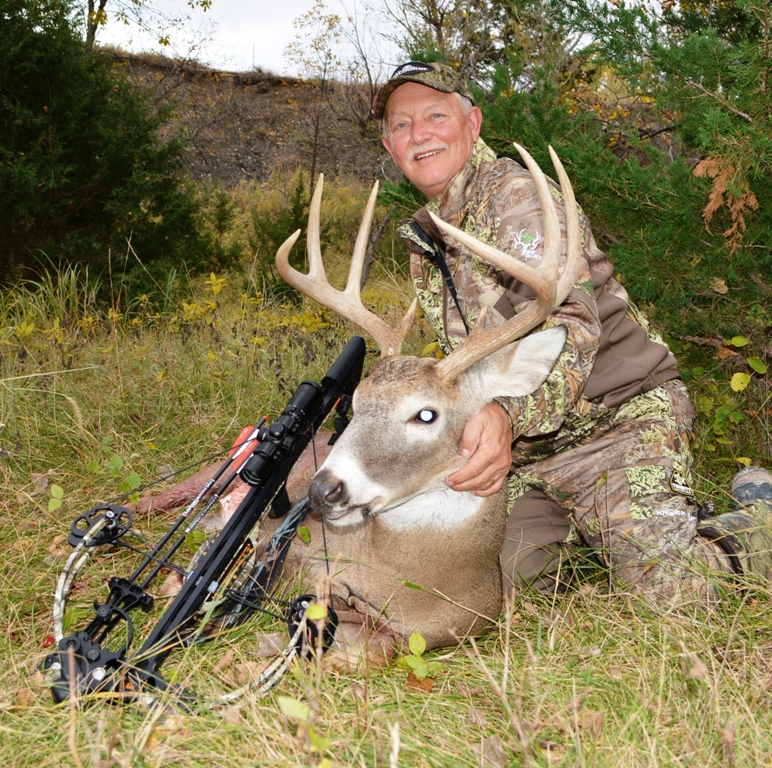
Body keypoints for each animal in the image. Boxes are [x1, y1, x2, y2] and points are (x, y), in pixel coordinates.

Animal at [139, 144, 582, 657]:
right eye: (361, 398)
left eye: (426, 414)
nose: (321, 491)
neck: (413, 577)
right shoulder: (292, 548)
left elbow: (368, 647)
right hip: (214, 472)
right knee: (158, 499)